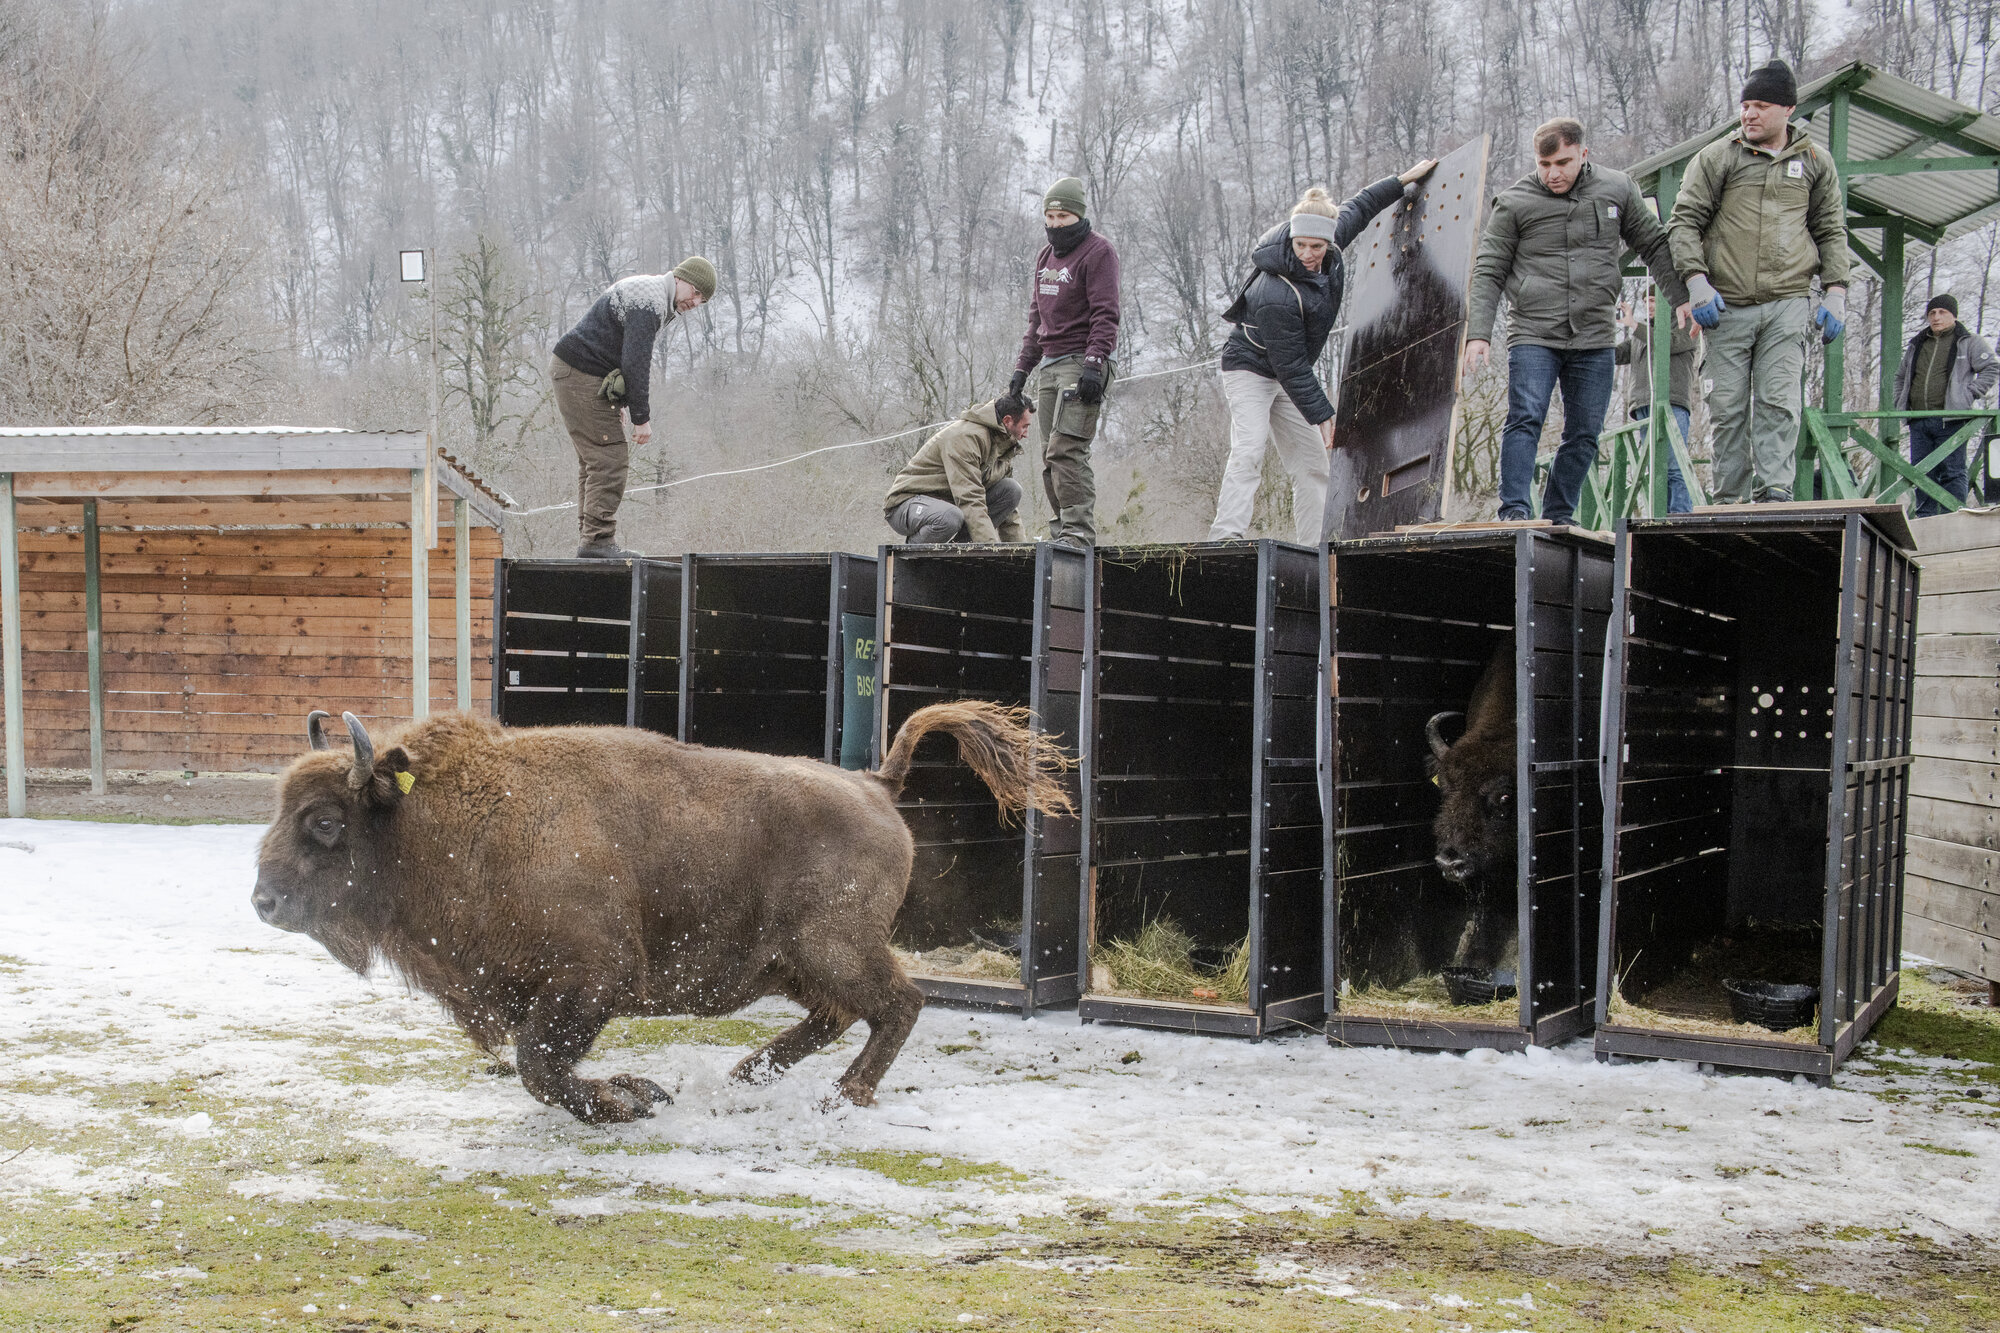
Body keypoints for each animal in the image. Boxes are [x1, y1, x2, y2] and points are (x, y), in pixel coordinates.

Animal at [252, 702, 1071, 1123]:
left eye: (324, 820)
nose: (264, 900)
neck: (445, 817)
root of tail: (875, 783)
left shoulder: (590, 979)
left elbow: (541, 1064)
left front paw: (630, 1099)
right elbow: (540, 1064)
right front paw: (638, 1090)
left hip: (834, 947)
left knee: (897, 1003)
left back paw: (841, 1096)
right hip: (794, 963)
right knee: (841, 1014)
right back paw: (747, 1076)